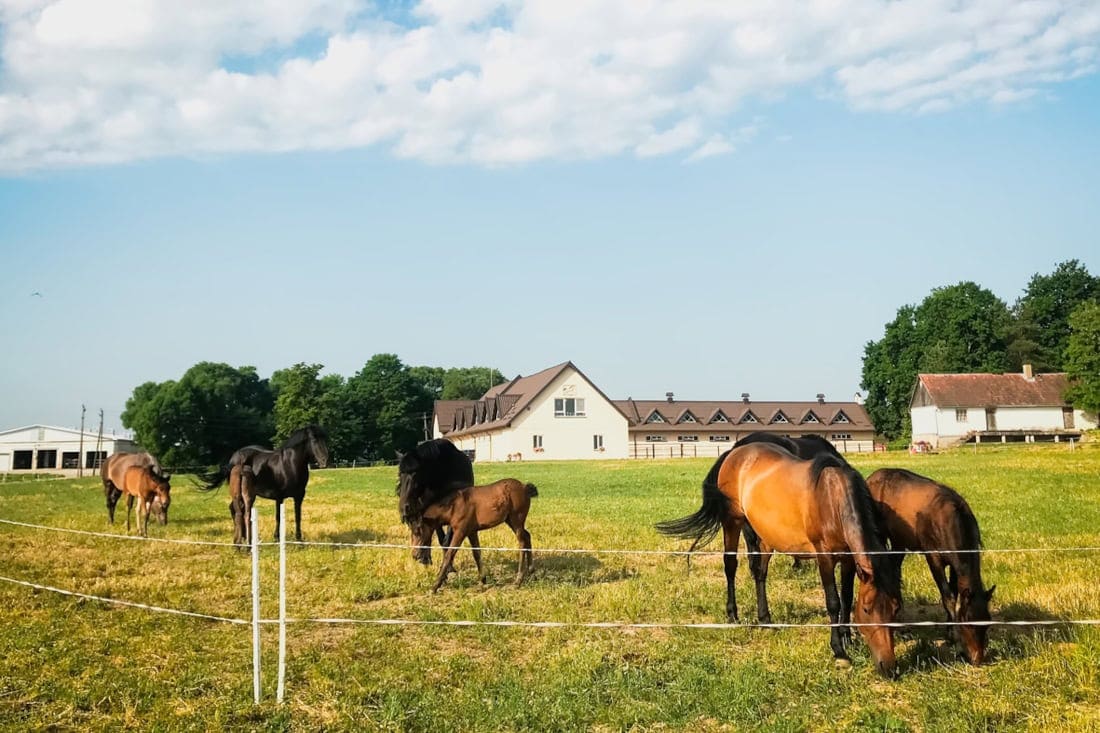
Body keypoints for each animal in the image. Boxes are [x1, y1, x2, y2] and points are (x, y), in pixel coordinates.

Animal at [198, 425, 329, 547]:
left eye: (325, 438)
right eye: (313, 439)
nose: (325, 461)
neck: (289, 464)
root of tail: (234, 458)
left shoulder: (299, 496)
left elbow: (298, 517)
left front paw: (299, 541)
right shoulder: (279, 497)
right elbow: (278, 517)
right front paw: (276, 539)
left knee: (237, 509)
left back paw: (242, 539)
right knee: (237, 510)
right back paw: (242, 540)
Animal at [656, 442, 902, 676]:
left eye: (895, 608)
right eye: (868, 610)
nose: (889, 668)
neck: (833, 498)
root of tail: (734, 453)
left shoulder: (849, 559)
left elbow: (847, 597)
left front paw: (847, 638)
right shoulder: (824, 556)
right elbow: (833, 601)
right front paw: (839, 651)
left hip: (765, 535)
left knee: (760, 572)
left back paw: (765, 619)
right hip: (732, 522)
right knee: (731, 566)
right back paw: (733, 615)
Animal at [866, 468, 994, 665]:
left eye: (987, 620)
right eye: (967, 619)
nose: (977, 658)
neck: (951, 520)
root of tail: (871, 477)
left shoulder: (955, 564)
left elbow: (954, 591)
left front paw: (950, 631)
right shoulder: (933, 558)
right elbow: (948, 596)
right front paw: (955, 639)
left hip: (899, 541)